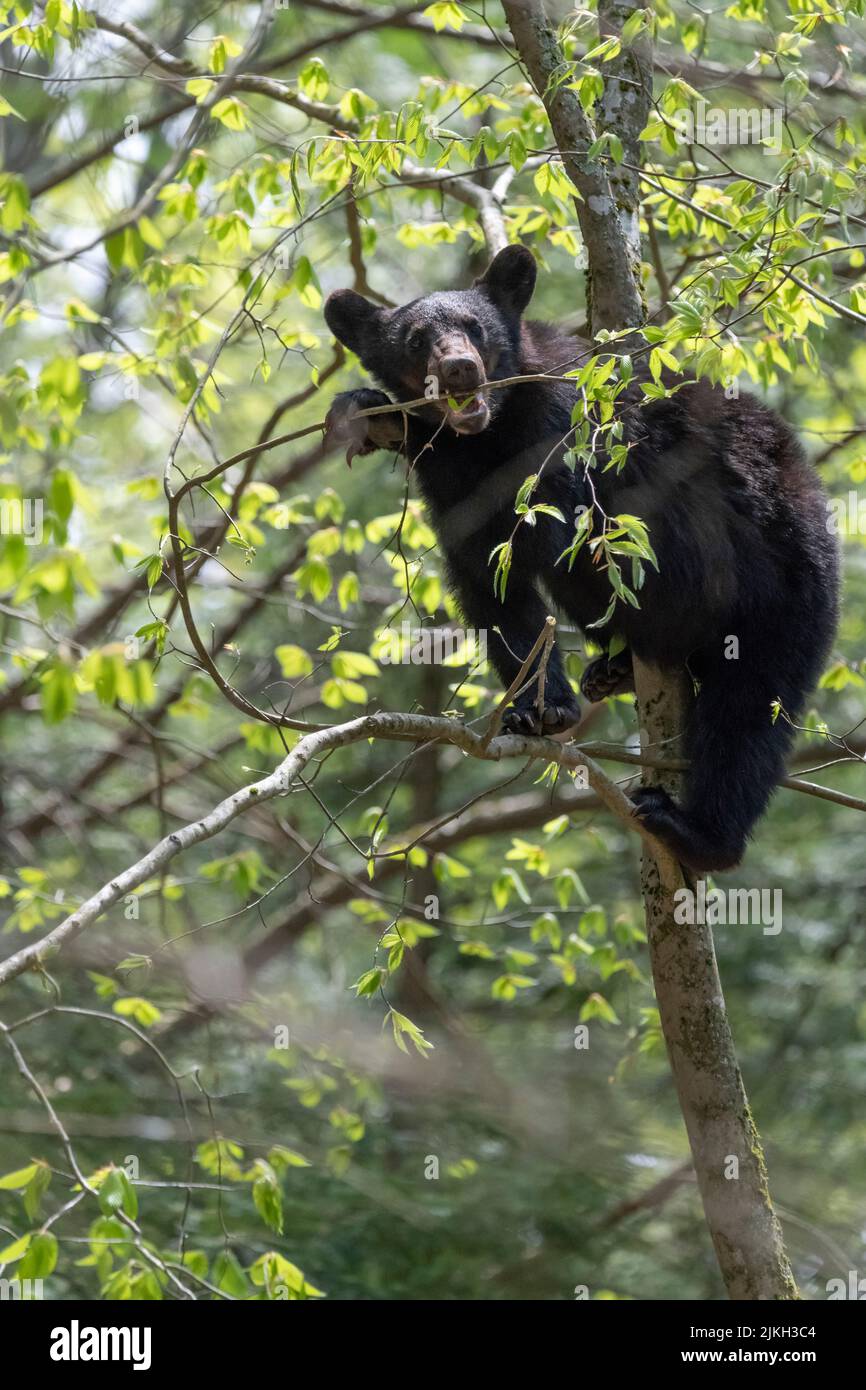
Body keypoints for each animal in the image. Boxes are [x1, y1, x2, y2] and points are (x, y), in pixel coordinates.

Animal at [323, 244, 839, 872]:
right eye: (417, 340)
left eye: (476, 327)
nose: (460, 369)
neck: (493, 431)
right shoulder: (458, 502)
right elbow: (491, 585)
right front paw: (538, 710)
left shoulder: (567, 428)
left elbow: (553, 531)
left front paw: (387, 420)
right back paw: (614, 668)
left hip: (779, 587)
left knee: (748, 715)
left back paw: (698, 832)